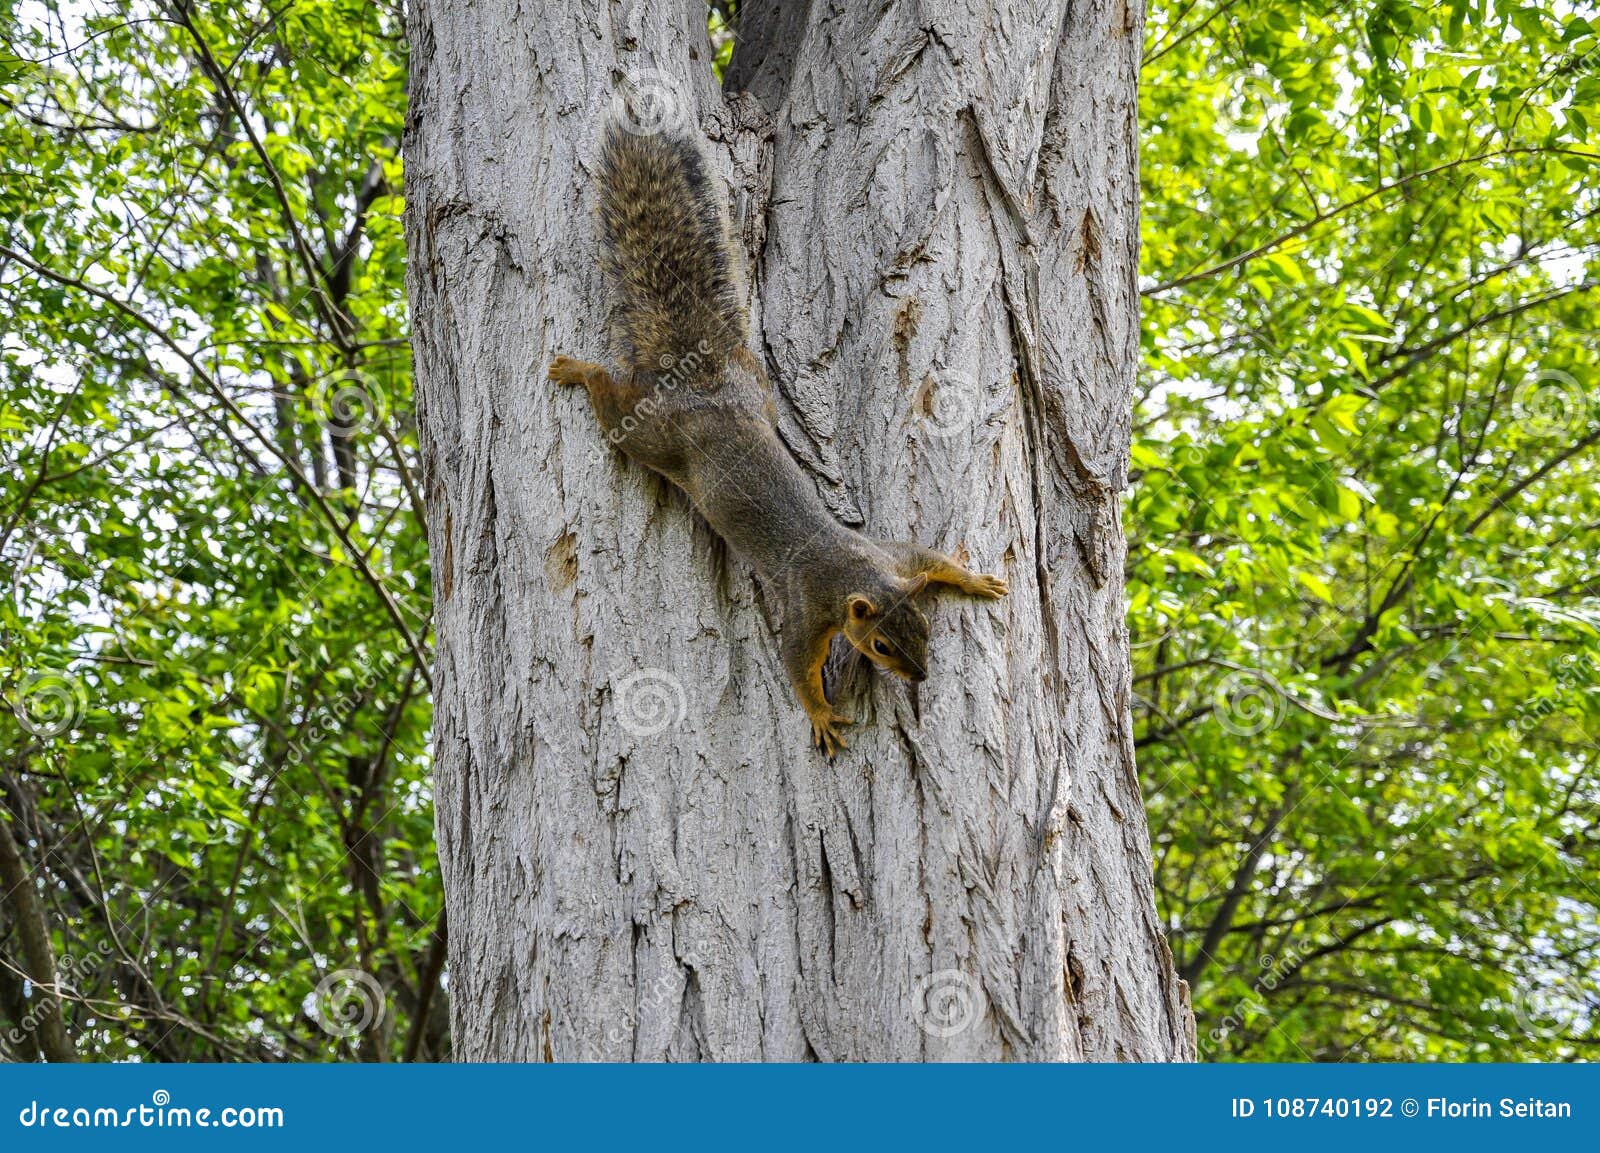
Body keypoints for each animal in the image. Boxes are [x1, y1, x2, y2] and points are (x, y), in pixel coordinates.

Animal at [549, 122, 1008, 756]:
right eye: (881, 645)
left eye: (924, 625)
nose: (920, 677)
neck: (853, 570)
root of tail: (706, 389)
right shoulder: (809, 607)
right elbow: (797, 664)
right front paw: (821, 715)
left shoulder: (892, 556)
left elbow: (928, 555)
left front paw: (972, 578)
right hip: (652, 436)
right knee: (614, 406)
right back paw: (577, 369)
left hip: (753, 389)